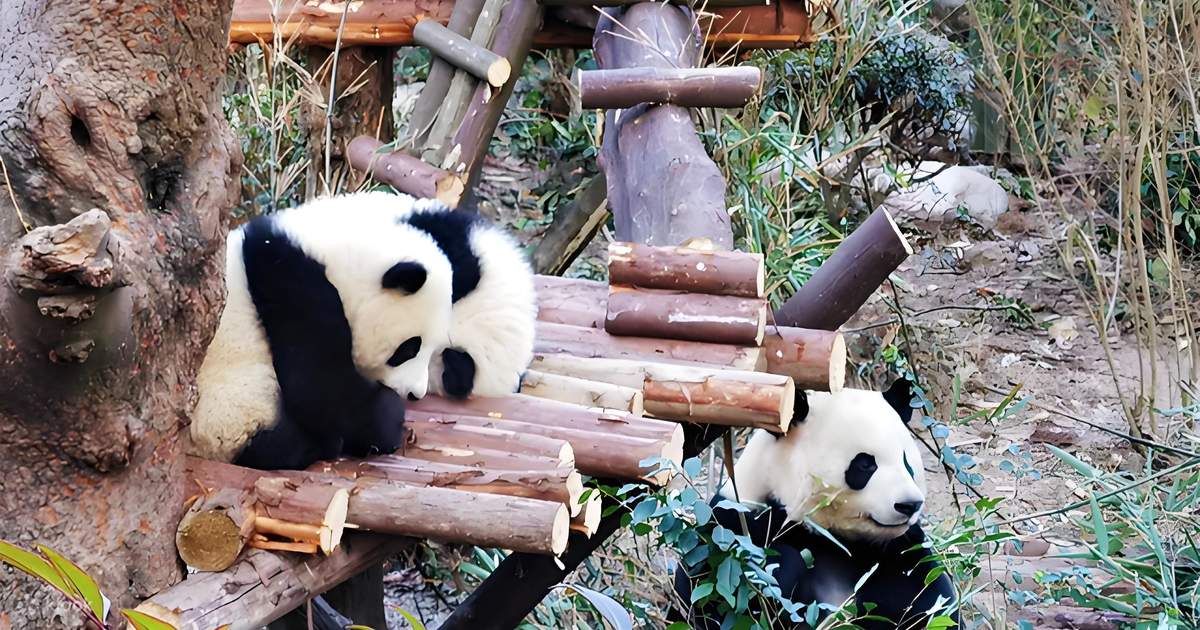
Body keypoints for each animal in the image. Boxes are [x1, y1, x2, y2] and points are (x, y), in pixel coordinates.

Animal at [189, 194, 455, 470]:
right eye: (410, 347)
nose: (416, 394)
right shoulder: (291, 283)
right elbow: (320, 388)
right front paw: (389, 420)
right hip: (230, 411)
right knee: (275, 444)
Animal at [673, 379, 958, 629]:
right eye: (865, 464)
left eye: (907, 463)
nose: (909, 505)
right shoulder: (734, 525)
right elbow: (712, 595)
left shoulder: (896, 550)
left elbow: (928, 595)